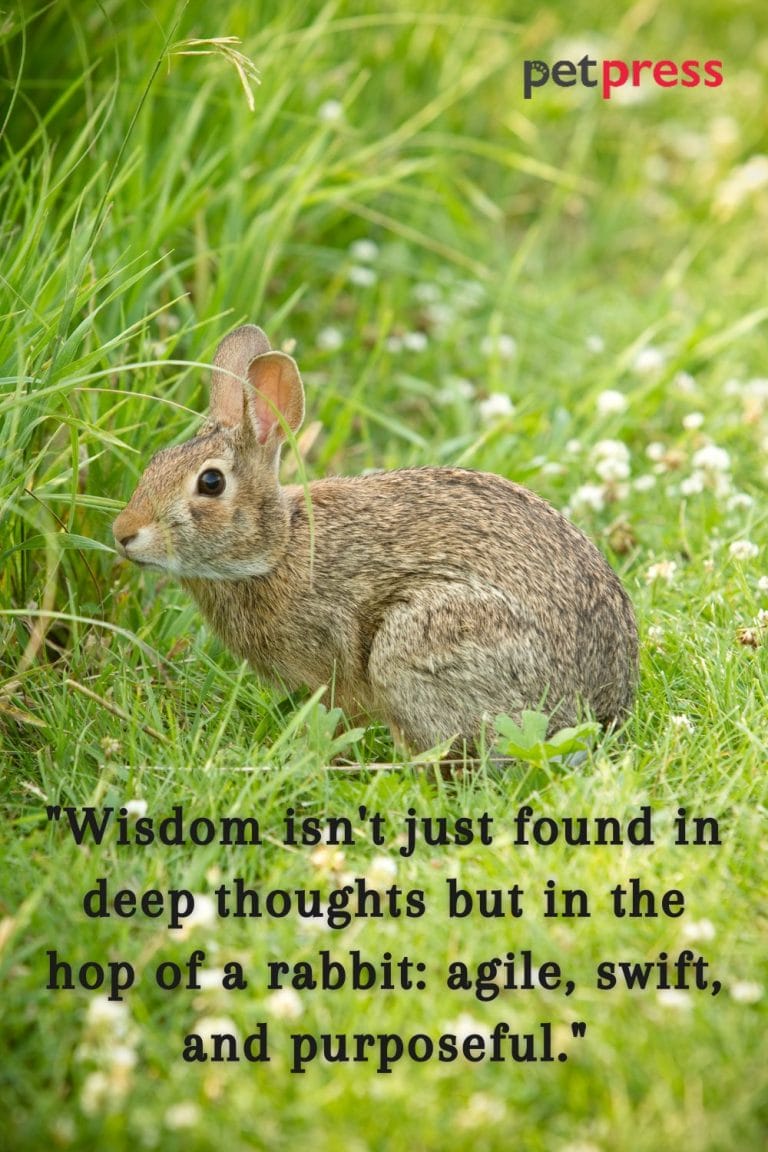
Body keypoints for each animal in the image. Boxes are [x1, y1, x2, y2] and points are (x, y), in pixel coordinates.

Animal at [112, 324, 638, 754]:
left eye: (211, 483)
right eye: (155, 462)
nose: (122, 534)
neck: (277, 548)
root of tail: (605, 704)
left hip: (420, 643)